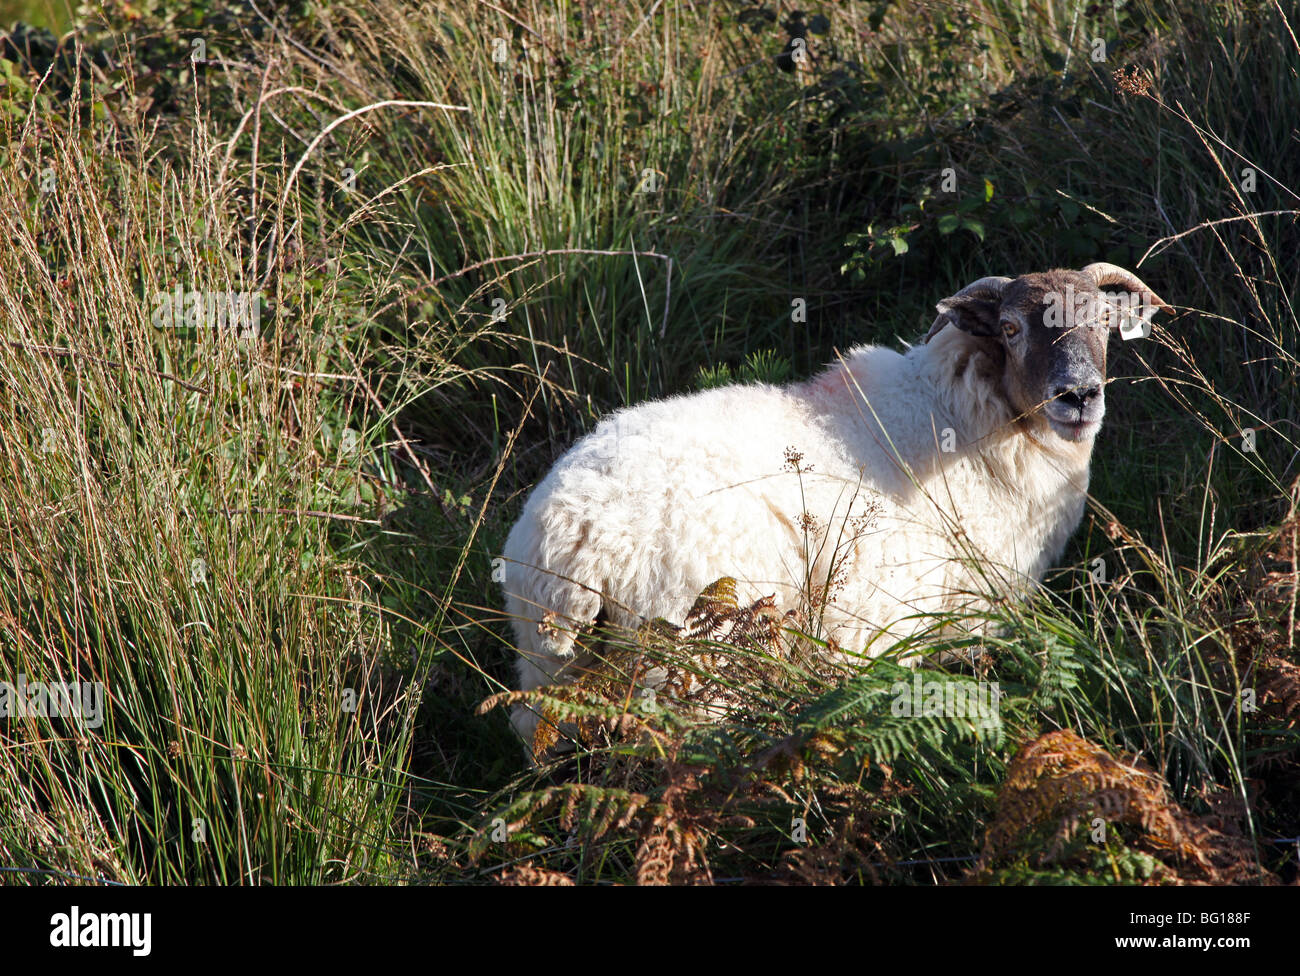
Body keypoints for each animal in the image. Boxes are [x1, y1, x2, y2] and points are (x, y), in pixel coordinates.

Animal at [499, 264, 1169, 750]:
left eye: (1104, 321)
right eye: (1008, 328)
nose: (1078, 396)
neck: (967, 419)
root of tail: (578, 541)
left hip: (549, 672)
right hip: (691, 665)